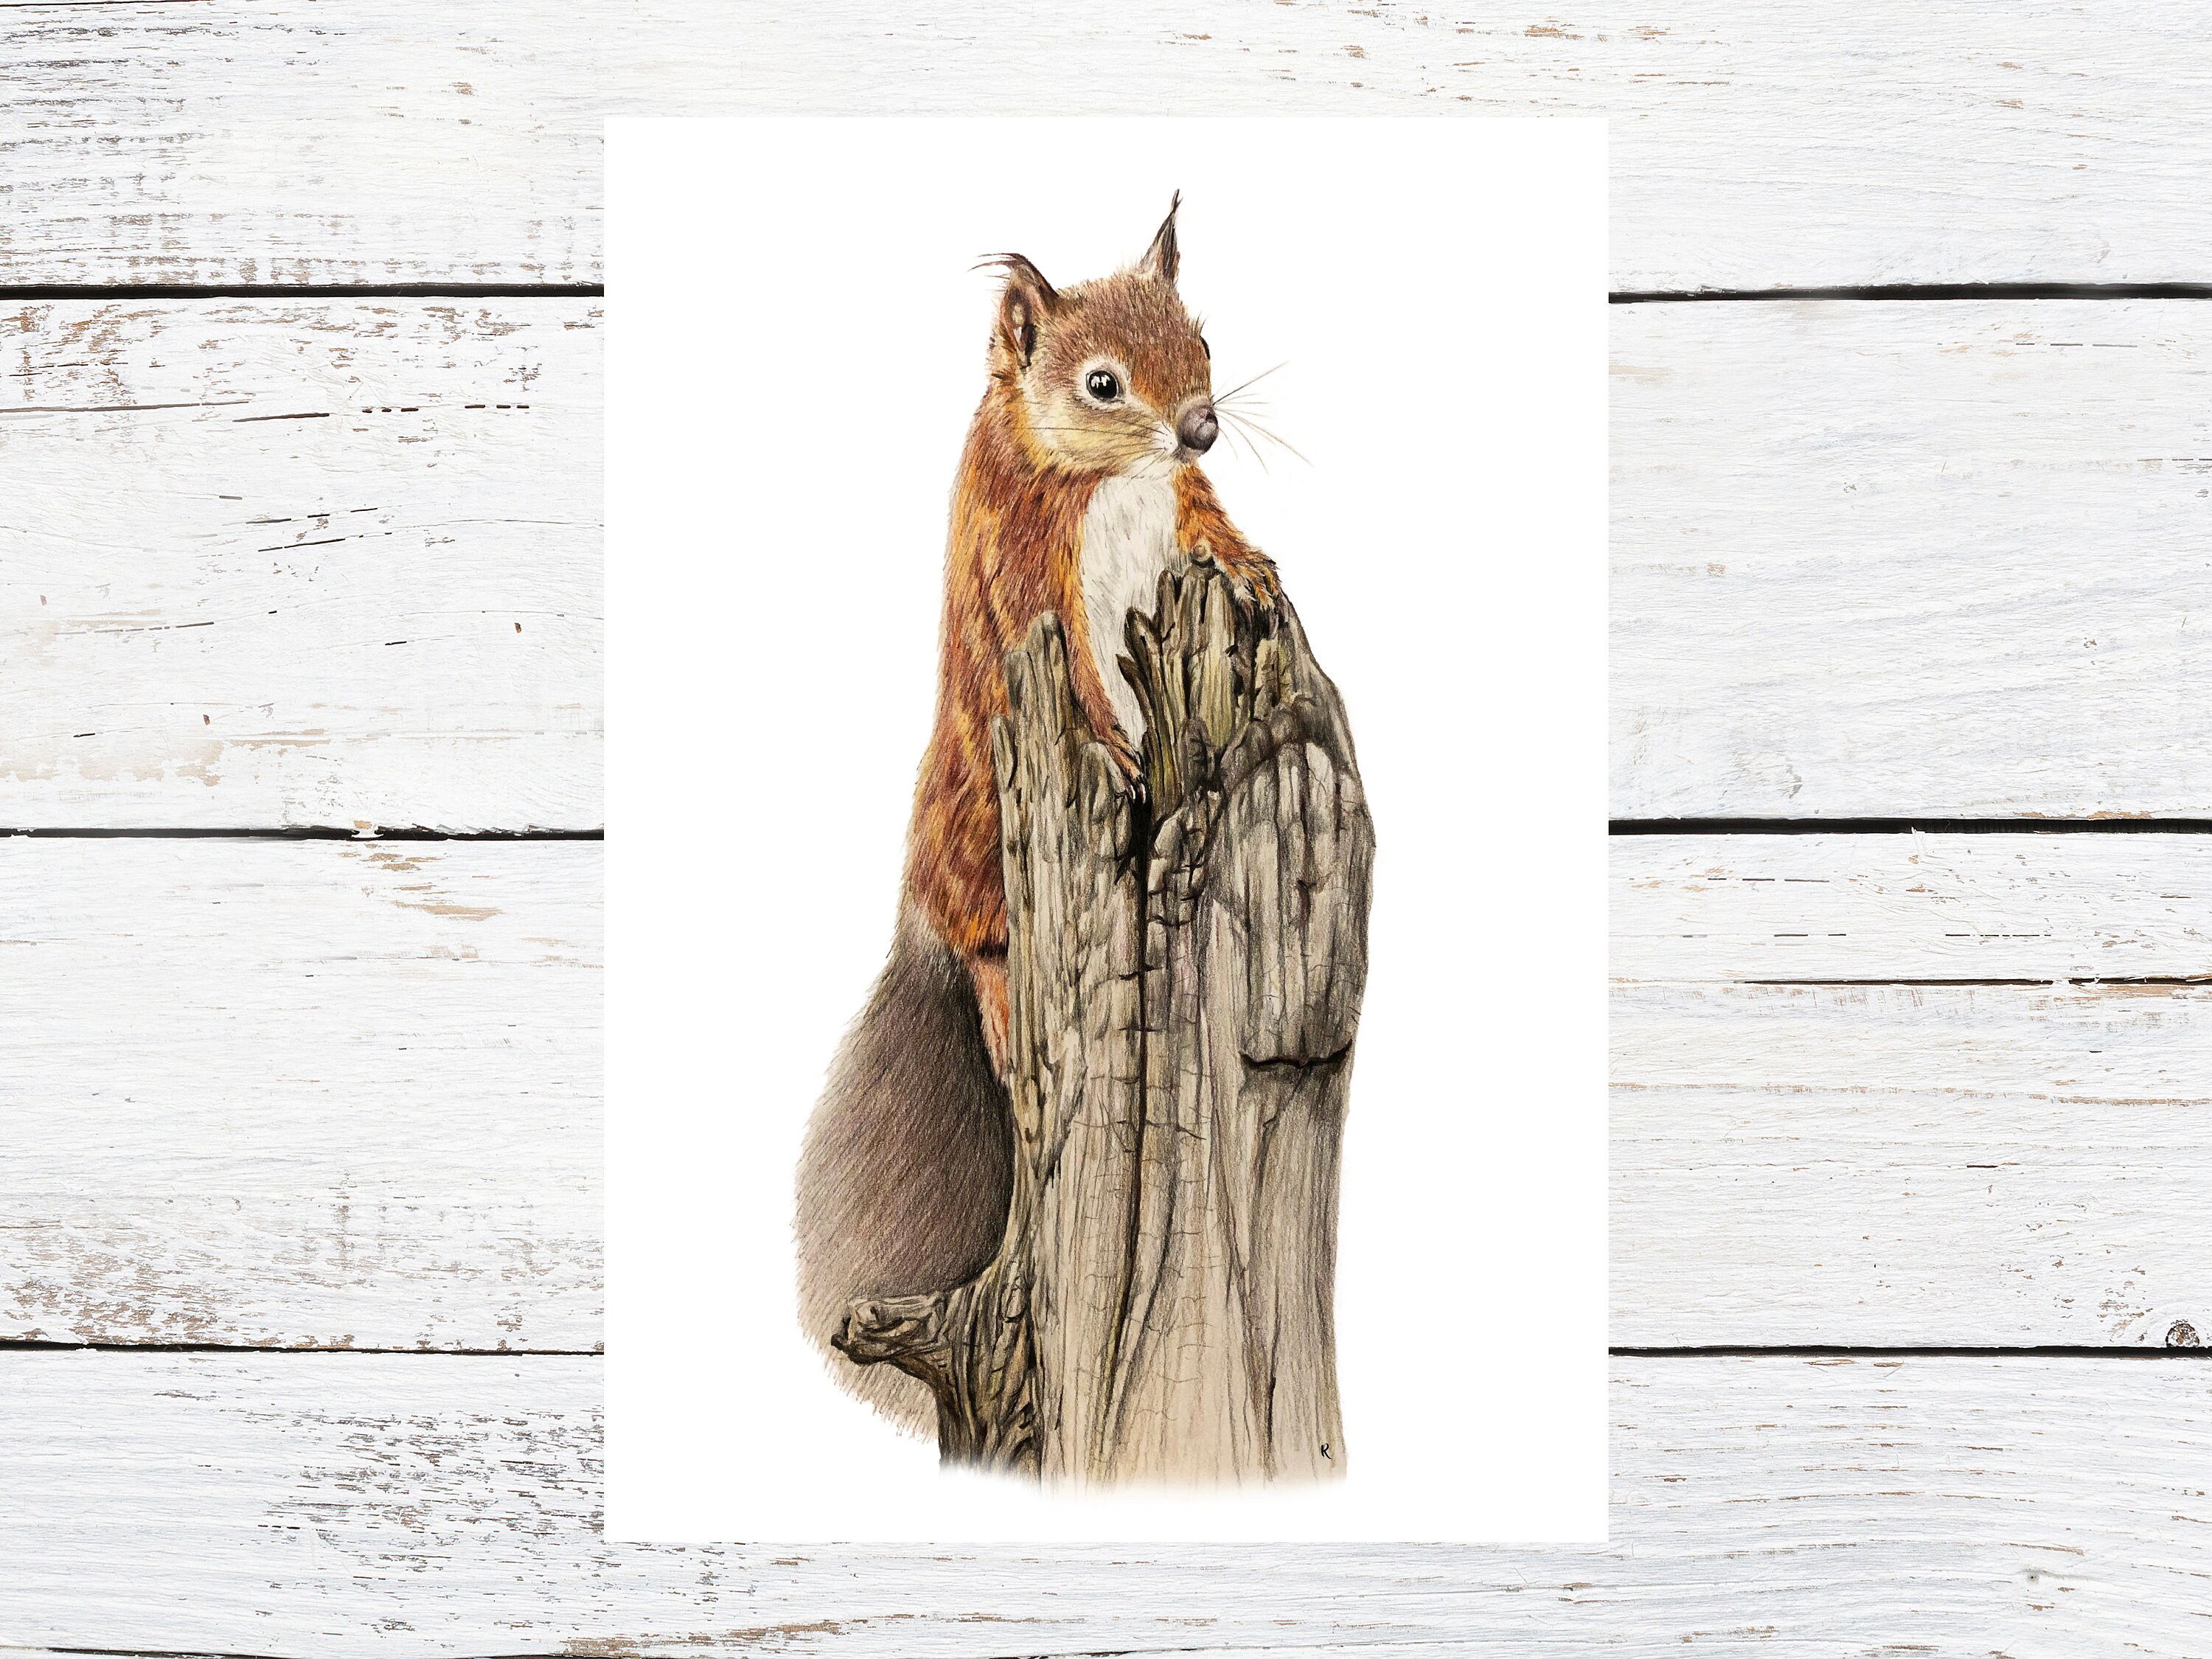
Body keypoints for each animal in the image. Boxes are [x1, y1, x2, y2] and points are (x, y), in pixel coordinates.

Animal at [794, 196, 1281, 1433]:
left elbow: (1212, 532)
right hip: (984, 884)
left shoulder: (1181, 505)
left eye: (1201, 336)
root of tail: (919, 909)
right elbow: (1059, 653)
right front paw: (1118, 744)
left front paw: (1255, 569)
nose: (1202, 428)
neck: (1113, 480)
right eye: (1101, 383)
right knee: (991, 970)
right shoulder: (1022, 560)